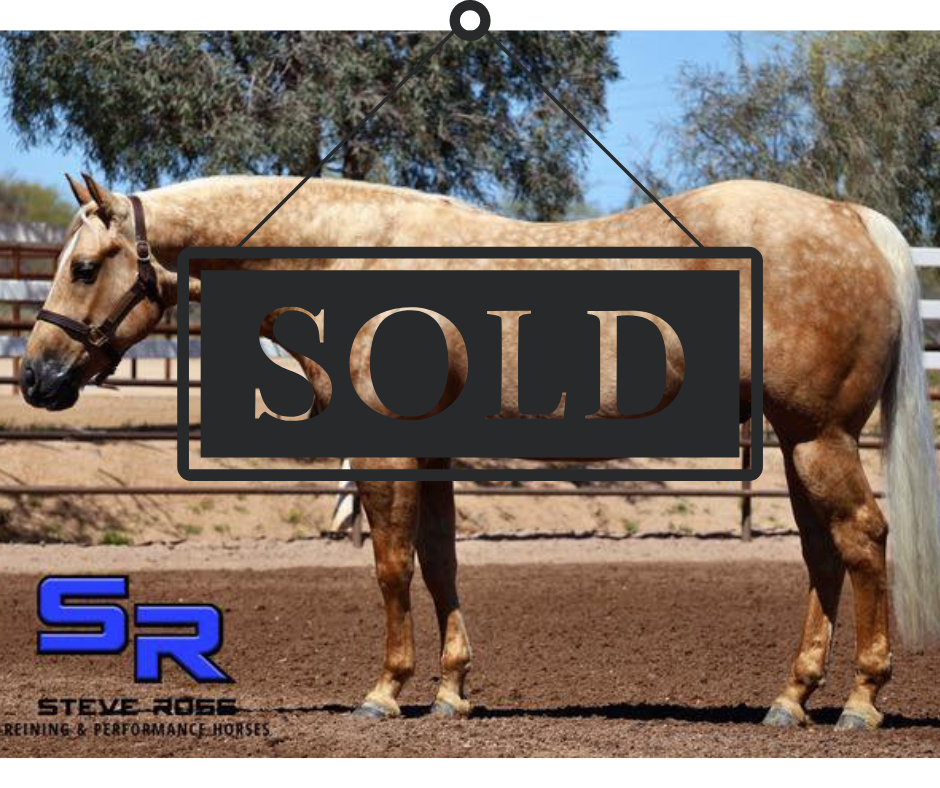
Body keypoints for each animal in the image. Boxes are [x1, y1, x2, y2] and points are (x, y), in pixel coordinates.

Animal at [21, 172, 940, 729]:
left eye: (86, 264)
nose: (35, 376)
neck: (353, 252)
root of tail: (850, 219)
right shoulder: (431, 453)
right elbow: (439, 563)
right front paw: (451, 692)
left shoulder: (386, 454)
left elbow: (392, 568)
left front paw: (385, 693)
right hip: (797, 440)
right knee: (823, 555)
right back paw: (791, 698)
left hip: (819, 437)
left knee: (863, 540)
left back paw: (862, 701)